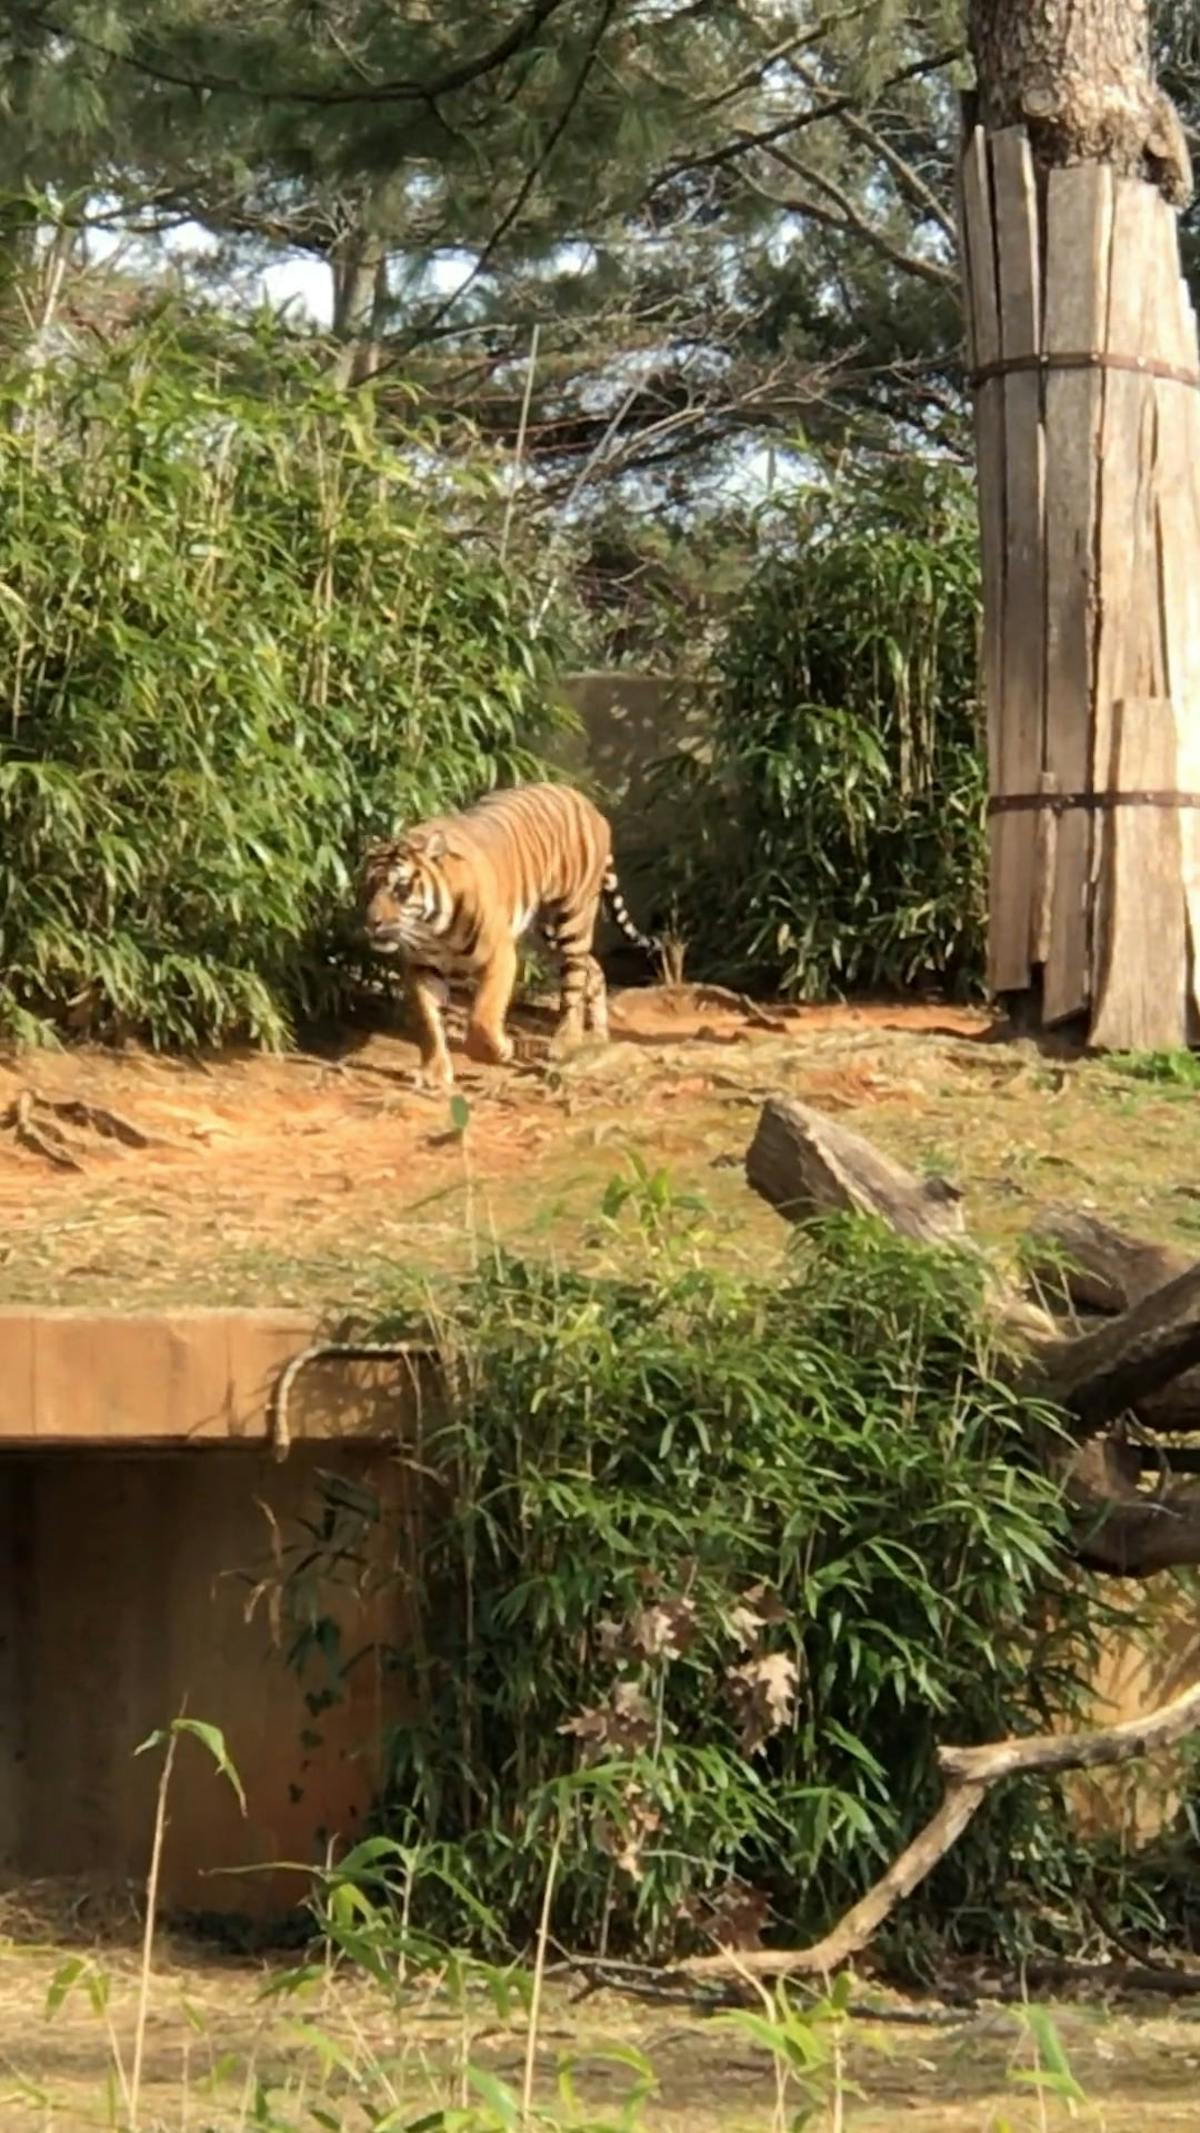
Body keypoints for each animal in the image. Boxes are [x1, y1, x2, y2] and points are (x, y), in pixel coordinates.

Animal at [361, 782, 658, 1087]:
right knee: (593, 968)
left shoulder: (499, 954)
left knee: (574, 981)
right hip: (546, 932)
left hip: (571, 918)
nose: (372, 923)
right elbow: (429, 1021)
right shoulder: (421, 966)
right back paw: (598, 1037)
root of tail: (585, 801)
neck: (431, 929)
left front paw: (499, 1051)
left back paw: (566, 1041)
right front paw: (435, 1073)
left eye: (401, 889)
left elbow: (483, 1014)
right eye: (368, 887)